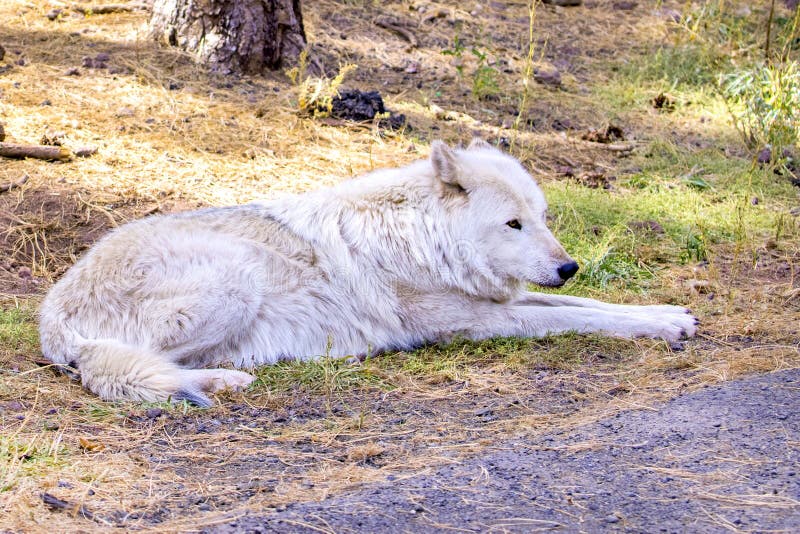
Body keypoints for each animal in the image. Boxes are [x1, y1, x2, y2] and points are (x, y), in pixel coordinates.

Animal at [39, 139, 697, 406]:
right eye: (512, 224)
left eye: (540, 218)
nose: (569, 265)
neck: (422, 239)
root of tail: (51, 318)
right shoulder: (479, 321)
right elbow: (580, 317)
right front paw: (662, 328)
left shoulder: (502, 301)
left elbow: (591, 306)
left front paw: (668, 315)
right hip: (237, 282)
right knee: (132, 367)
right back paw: (223, 382)